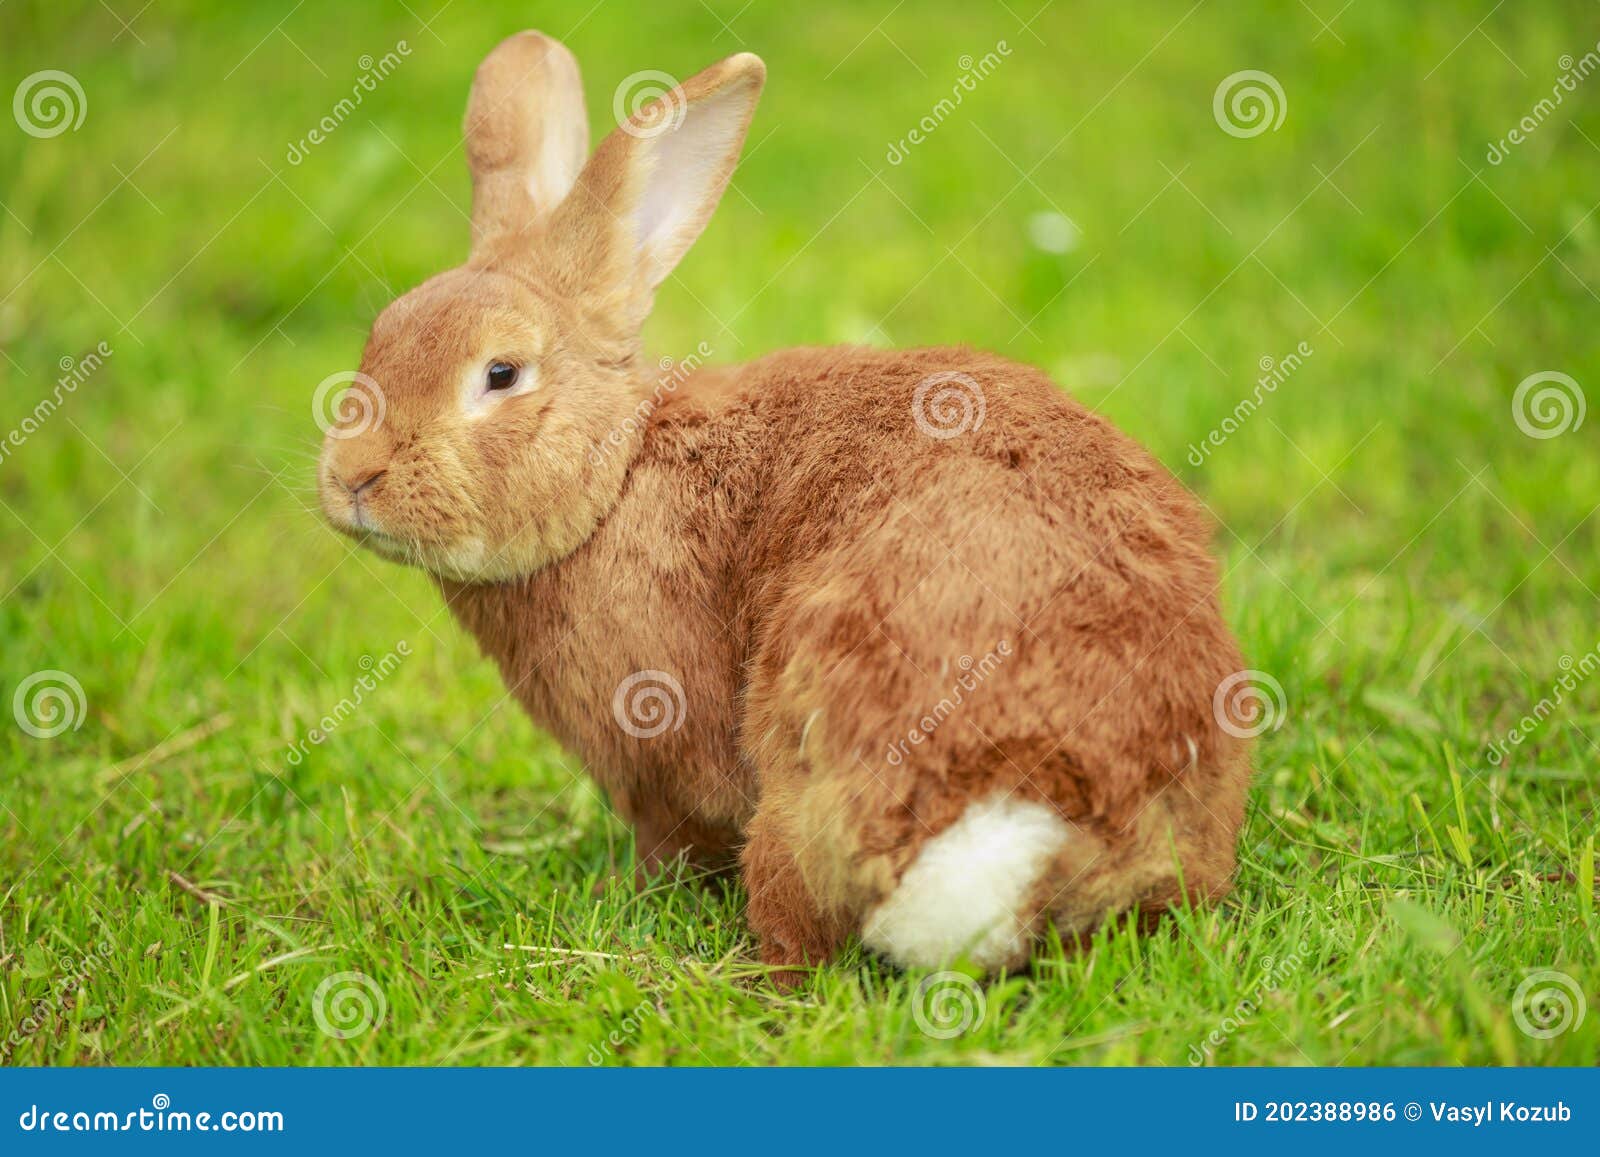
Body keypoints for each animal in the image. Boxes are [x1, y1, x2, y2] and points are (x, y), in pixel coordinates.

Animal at [317, 30, 1254, 983]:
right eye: (381, 334)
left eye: (501, 374)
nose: (351, 478)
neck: (616, 479)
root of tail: (1033, 821)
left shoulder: (659, 756)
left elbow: (671, 838)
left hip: (797, 769)